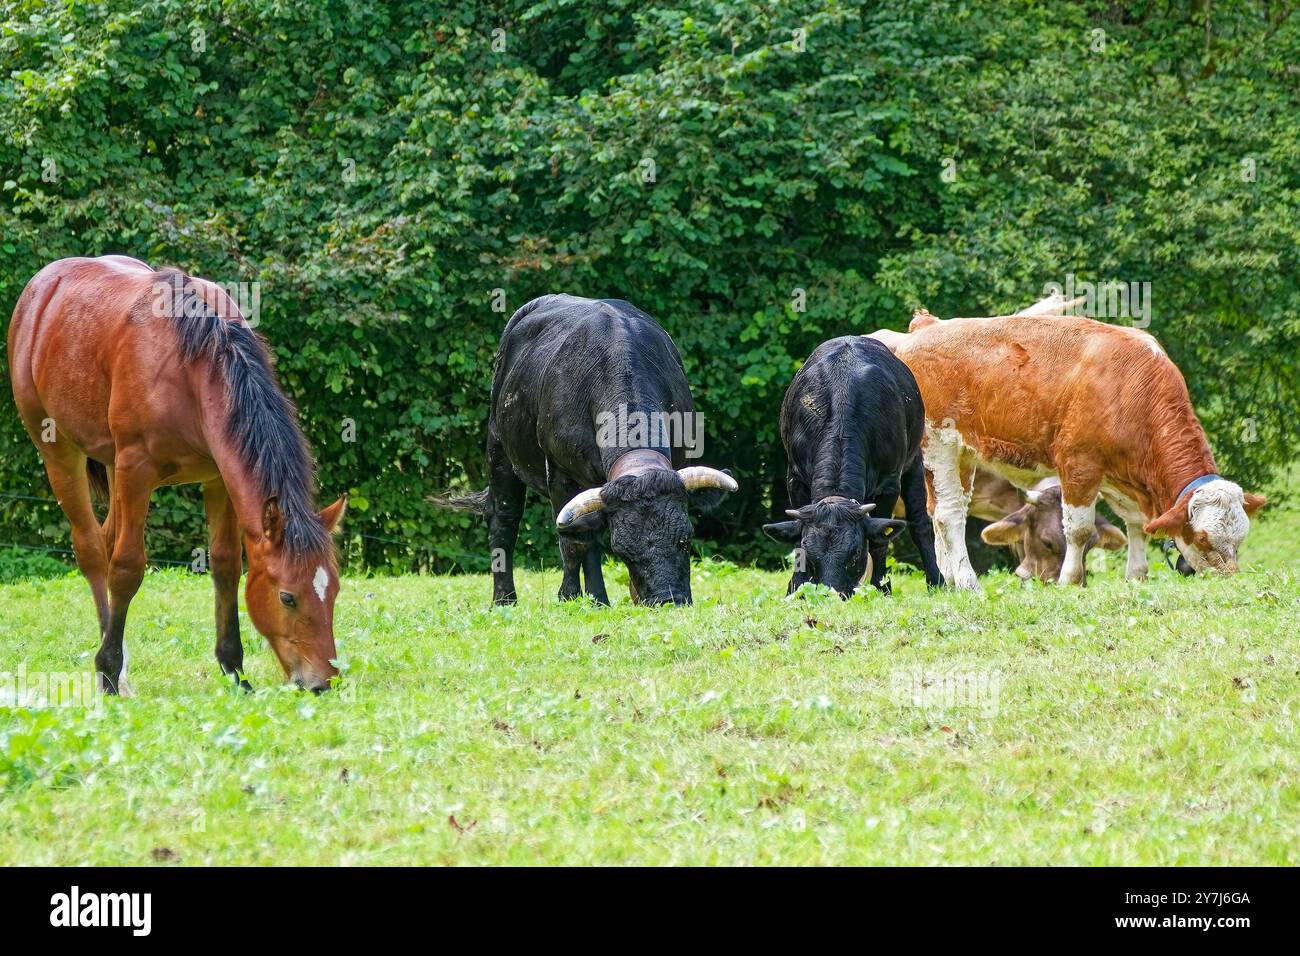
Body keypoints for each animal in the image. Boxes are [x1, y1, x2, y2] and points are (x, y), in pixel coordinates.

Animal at [6, 256, 347, 694]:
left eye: (333, 589)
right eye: (288, 597)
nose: (323, 682)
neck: (193, 365)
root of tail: (41, 288)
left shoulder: (219, 479)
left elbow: (225, 566)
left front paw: (235, 672)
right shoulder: (137, 468)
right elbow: (127, 568)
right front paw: (109, 670)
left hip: (114, 469)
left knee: (106, 538)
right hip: (60, 452)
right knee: (93, 551)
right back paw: (113, 674)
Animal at [438, 294, 737, 606]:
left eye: (686, 540)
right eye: (623, 551)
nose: (669, 600)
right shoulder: (560, 474)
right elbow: (573, 543)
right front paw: (571, 595)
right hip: (499, 448)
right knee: (505, 521)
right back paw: (505, 598)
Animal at [761, 335, 938, 597]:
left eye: (855, 554)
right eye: (810, 554)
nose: (832, 593)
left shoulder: (889, 484)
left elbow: (879, 542)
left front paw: (881, 588)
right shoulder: (795, 478)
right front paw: (796, 588)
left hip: (913, 461)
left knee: (920, 524)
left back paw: (937, 581)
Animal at [869, 310, 1265, 588]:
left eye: (1240, 539)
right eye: (1203, 538)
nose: (1229, 579)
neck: (1133, 388)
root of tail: (925, 327)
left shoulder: (1118, 473)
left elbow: (1135, 522)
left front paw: (1136, 575)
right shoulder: (1079, 464)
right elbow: (1078, 529)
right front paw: (1070, 580)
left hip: (963, 454)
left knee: (939, 513)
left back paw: (949, 578)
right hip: (939, 446)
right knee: (949, 515)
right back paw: (967, 582)